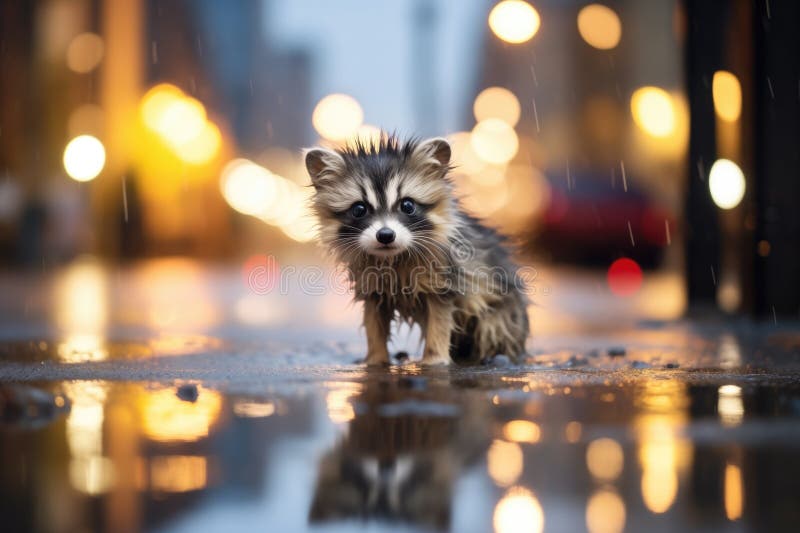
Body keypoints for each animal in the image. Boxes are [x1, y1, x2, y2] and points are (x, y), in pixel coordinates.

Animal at [305, 135, 529, 366]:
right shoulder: (371, 285)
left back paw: (496, 356)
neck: (393, 257)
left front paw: (435, 359)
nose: (385, 235)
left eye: (407, 206)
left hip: (504, 311)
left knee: (493, 327)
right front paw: (376, 360)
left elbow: (440, 320)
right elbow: (374, 321)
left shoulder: (446, 276)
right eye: (359, 209)